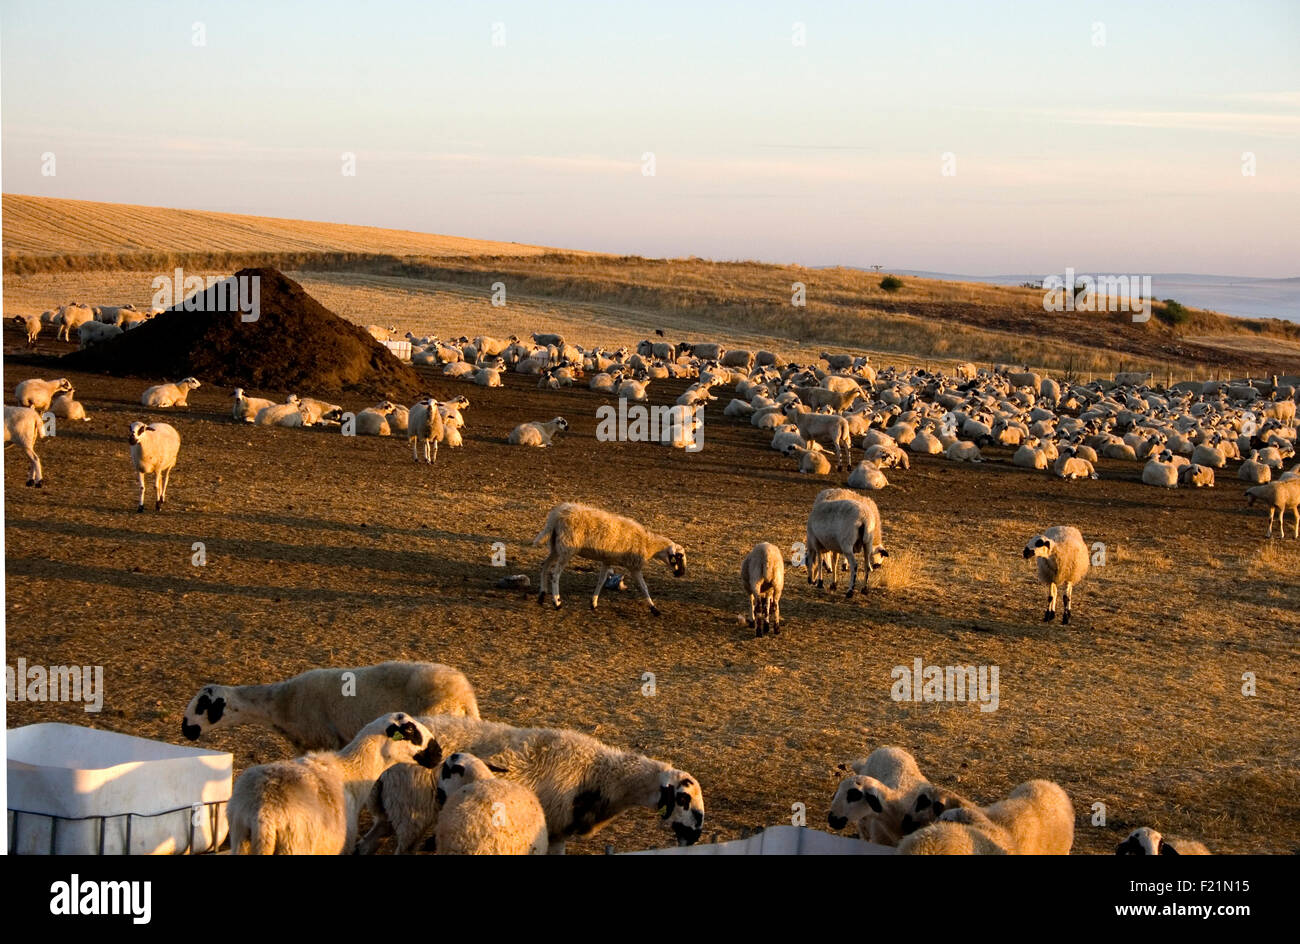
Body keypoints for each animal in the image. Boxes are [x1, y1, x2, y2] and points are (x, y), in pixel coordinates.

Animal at [228, 713, 443, 855]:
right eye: (410, 730)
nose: (439, 753)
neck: (349, 770)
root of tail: (263, 813)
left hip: (240, 838)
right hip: (294, 846)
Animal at [359, 716, 704, 855]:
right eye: (683, 800)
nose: (694, 837)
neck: (601, 776)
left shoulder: (558, 831)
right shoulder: (553, 827)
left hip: (393, 811)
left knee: (367, 843)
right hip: (412, 812)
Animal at [533, 502, 686, 614]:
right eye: (679, 557)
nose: (681, 574)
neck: (649, 544)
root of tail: (556, 516)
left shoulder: (607, 560)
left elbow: (601, 581)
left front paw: (593, 603)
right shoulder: (634, 567)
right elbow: (644, 587)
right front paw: (654, 609)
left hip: (556, 546)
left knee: (545, 566)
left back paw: (542, 596)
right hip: (567, 548)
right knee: (555, 574)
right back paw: (556, 602)